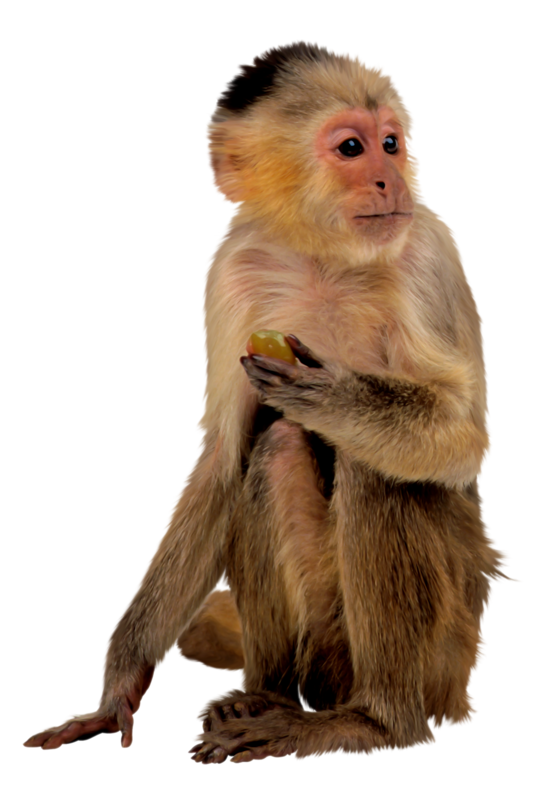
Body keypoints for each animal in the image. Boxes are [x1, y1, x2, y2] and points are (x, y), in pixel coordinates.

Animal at [21, 40, 521, 763]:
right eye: (351, 148)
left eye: (390, 144)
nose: (389, 181)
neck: (324, 253)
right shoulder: (230, 267)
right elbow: (220, 459)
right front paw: (119, 687)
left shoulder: (431, 251)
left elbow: (466, 438)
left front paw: (336, 398)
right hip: (326, 647)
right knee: (273, 448)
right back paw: (268, 694)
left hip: (454, 652)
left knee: (377, 470)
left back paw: (378, 721)